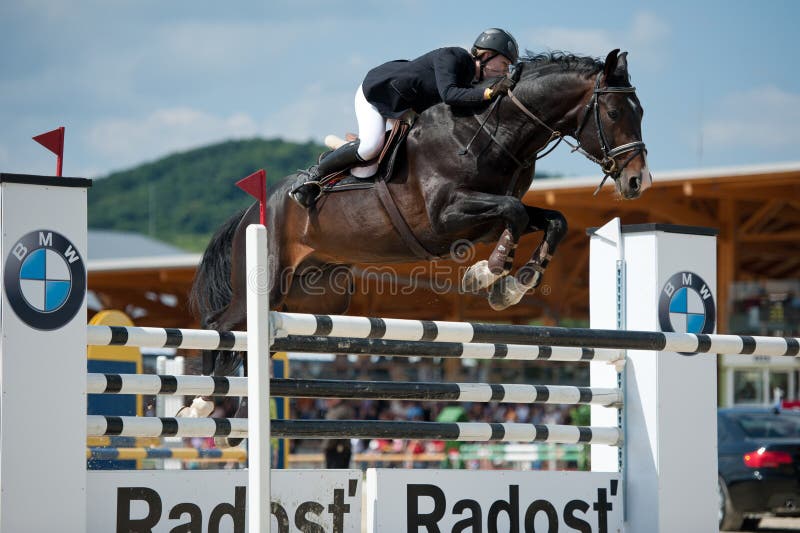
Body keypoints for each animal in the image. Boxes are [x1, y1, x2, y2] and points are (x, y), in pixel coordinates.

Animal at [183, 49, 650, 433]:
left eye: (640, 111)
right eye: (612, 111)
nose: (637, 181)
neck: (492, 130)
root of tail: (251, 211)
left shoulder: (484, 219)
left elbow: (552, 219)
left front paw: (515, 284)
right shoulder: (445, 218)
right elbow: (515, 214)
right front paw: (488, 274)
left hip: (314, 296)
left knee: (251, 335)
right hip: (265, 281)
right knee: (218, 326)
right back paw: (202, 403)